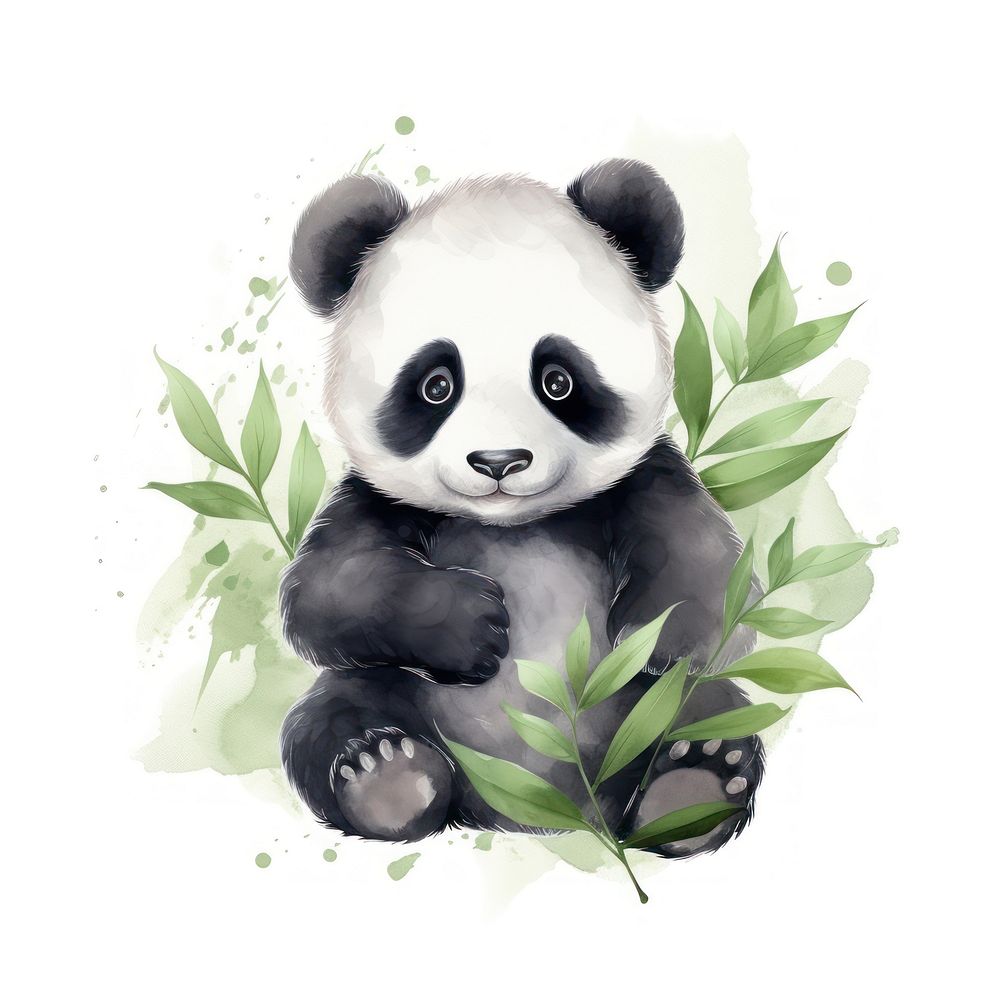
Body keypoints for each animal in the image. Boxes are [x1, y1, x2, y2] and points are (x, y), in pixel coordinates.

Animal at [279, 159, 764, 858]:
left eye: (557, 379)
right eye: (436, 385)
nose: (499, 460)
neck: (511, 528)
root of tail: (535, 809)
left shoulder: (646, 477)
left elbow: (712, 565)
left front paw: (656, 642)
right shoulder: (374, 498)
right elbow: (328, 589)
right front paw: (470, 622)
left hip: (644, 720)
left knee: (707, 708)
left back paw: (691, 787)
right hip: (391, 690)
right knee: (328, 716)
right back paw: (386, 779)